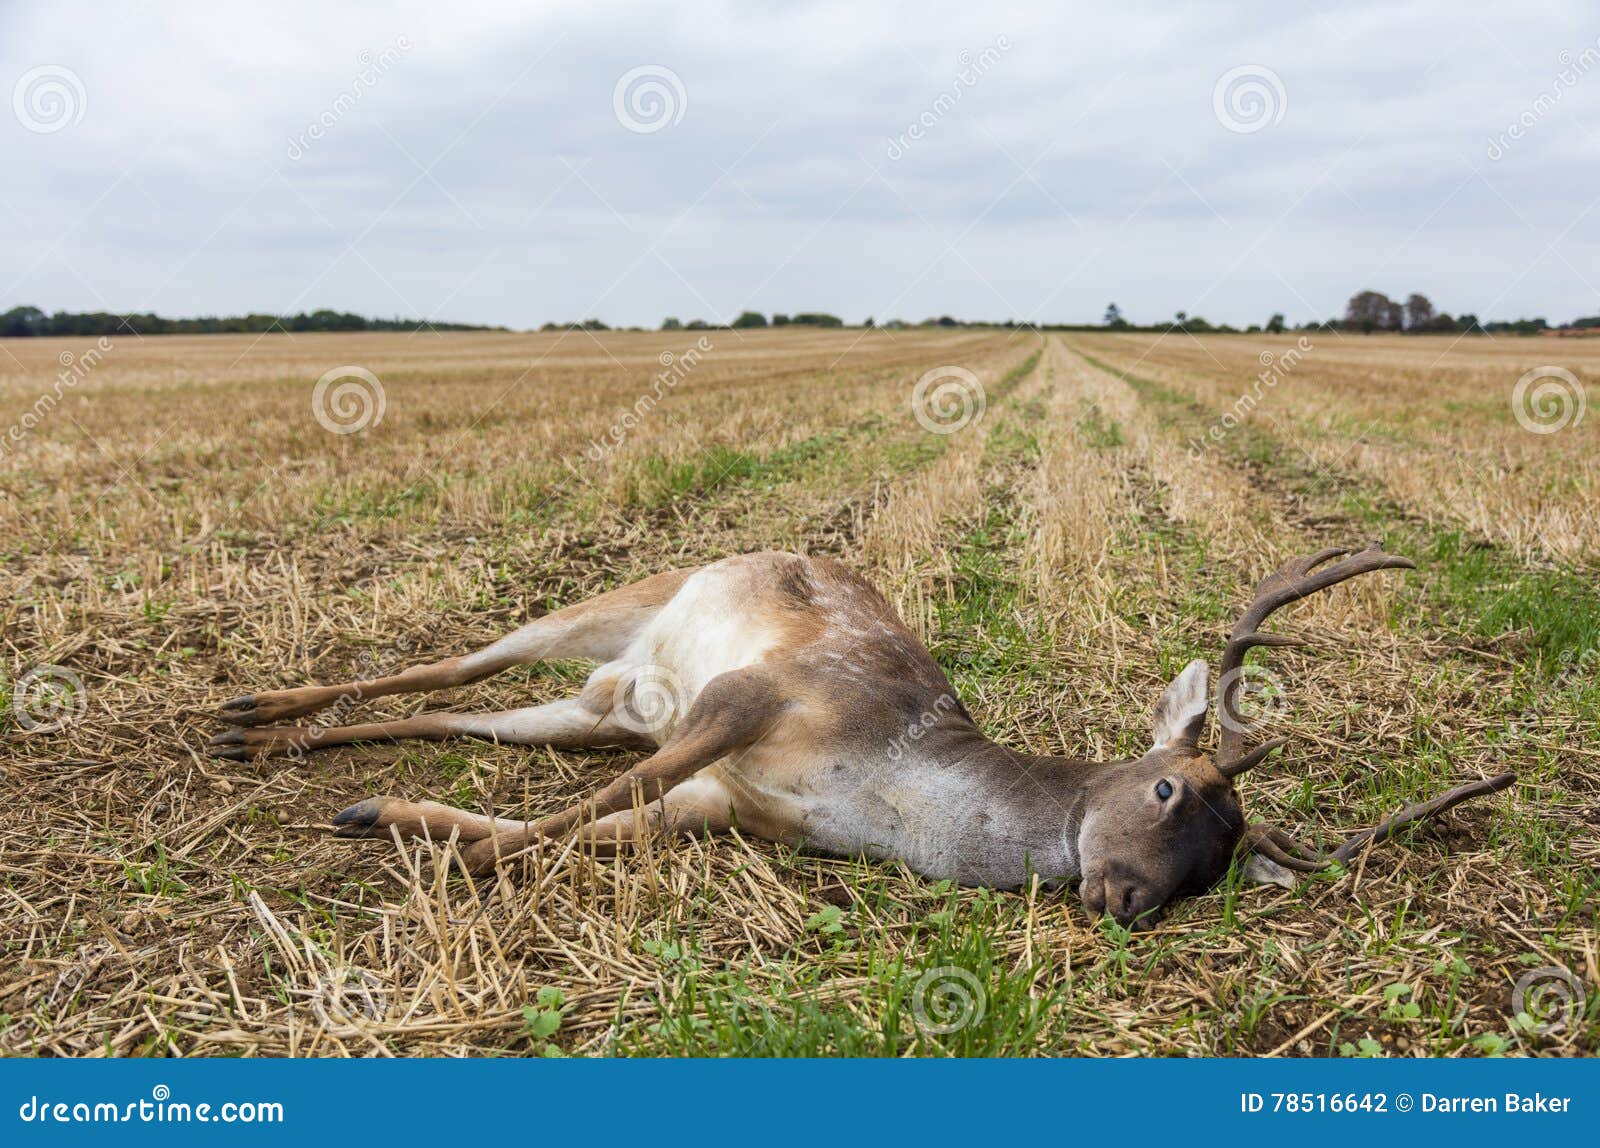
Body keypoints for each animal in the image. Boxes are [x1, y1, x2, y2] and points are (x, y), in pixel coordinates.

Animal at [209, 543, 1514, 928]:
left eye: (1222, 862)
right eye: (1168, 791)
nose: (1126, 898)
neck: (886, 794)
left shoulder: (729, 806)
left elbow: (599, 822)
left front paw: (406, 829)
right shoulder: (752, 697)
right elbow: (577, 817)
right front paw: (453, 865)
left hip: (593, 703)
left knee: (470, 712)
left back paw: (291, 760)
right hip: (619, 610)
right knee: (450, 661)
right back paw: (246, 712)